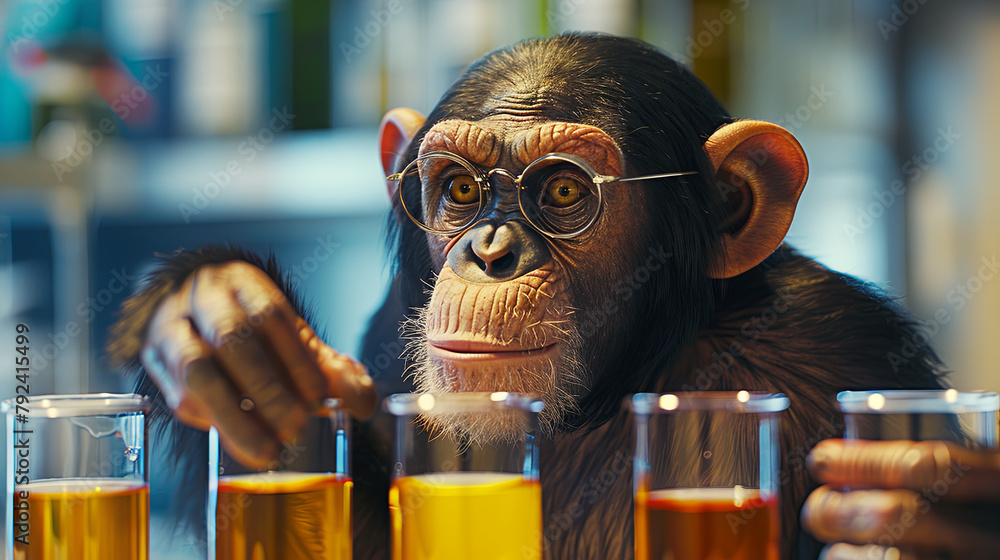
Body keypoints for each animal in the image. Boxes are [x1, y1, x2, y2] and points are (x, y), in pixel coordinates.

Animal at [109, 33, 998, 560]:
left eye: (564, 193)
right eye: (460, 189)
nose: (491, 253)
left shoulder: (836, 352)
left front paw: (933, 512)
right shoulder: (384, 342)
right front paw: (221, 321)